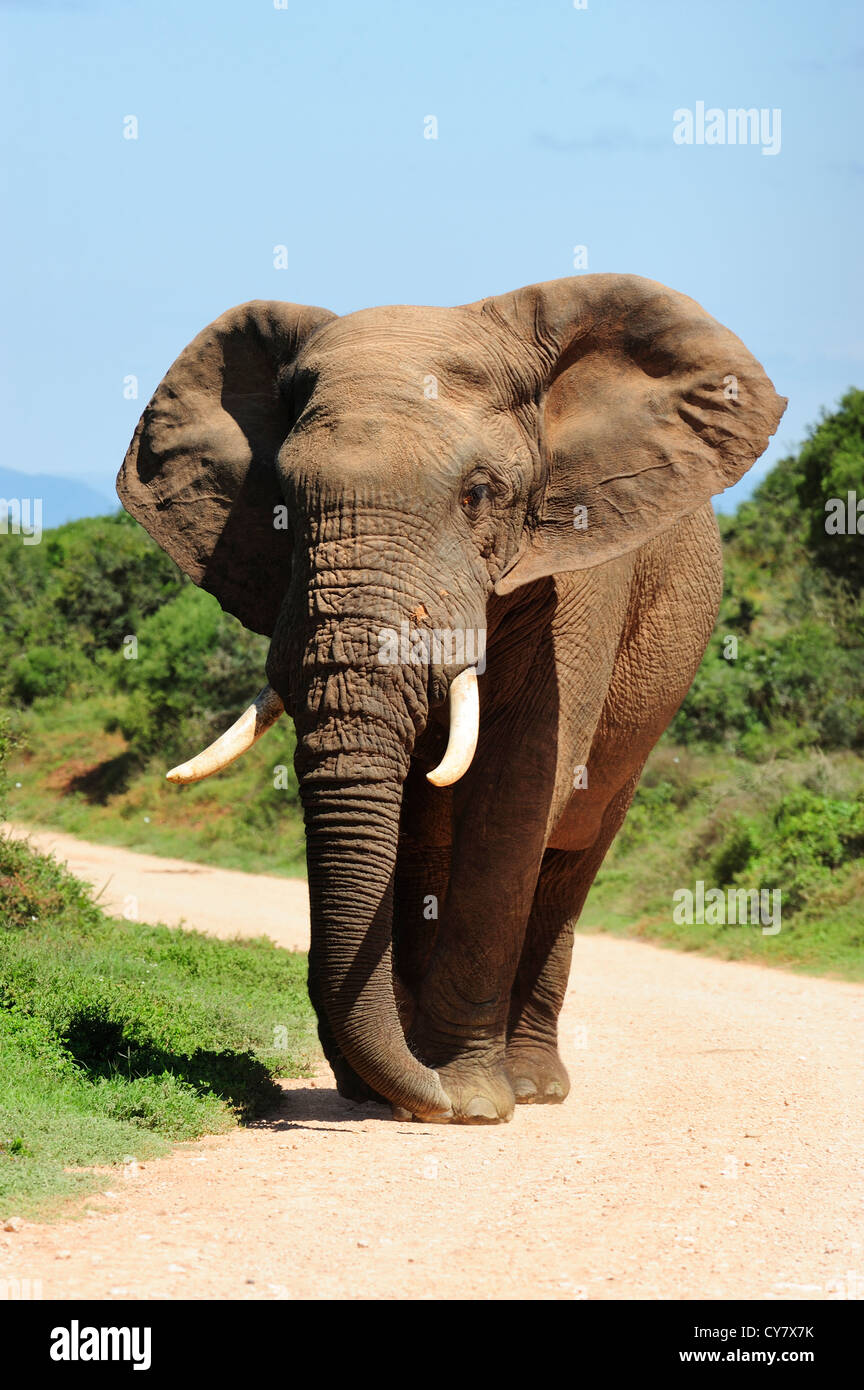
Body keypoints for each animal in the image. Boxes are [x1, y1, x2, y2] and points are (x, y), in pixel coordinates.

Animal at [117, 275, 785, 1125]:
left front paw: (469, 1099)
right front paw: (405, 1093)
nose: (395, 1094)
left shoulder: (576, 564)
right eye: (282, 508)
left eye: (478, 495)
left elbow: (516, 793)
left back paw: (529, 1084)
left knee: (570, 859)